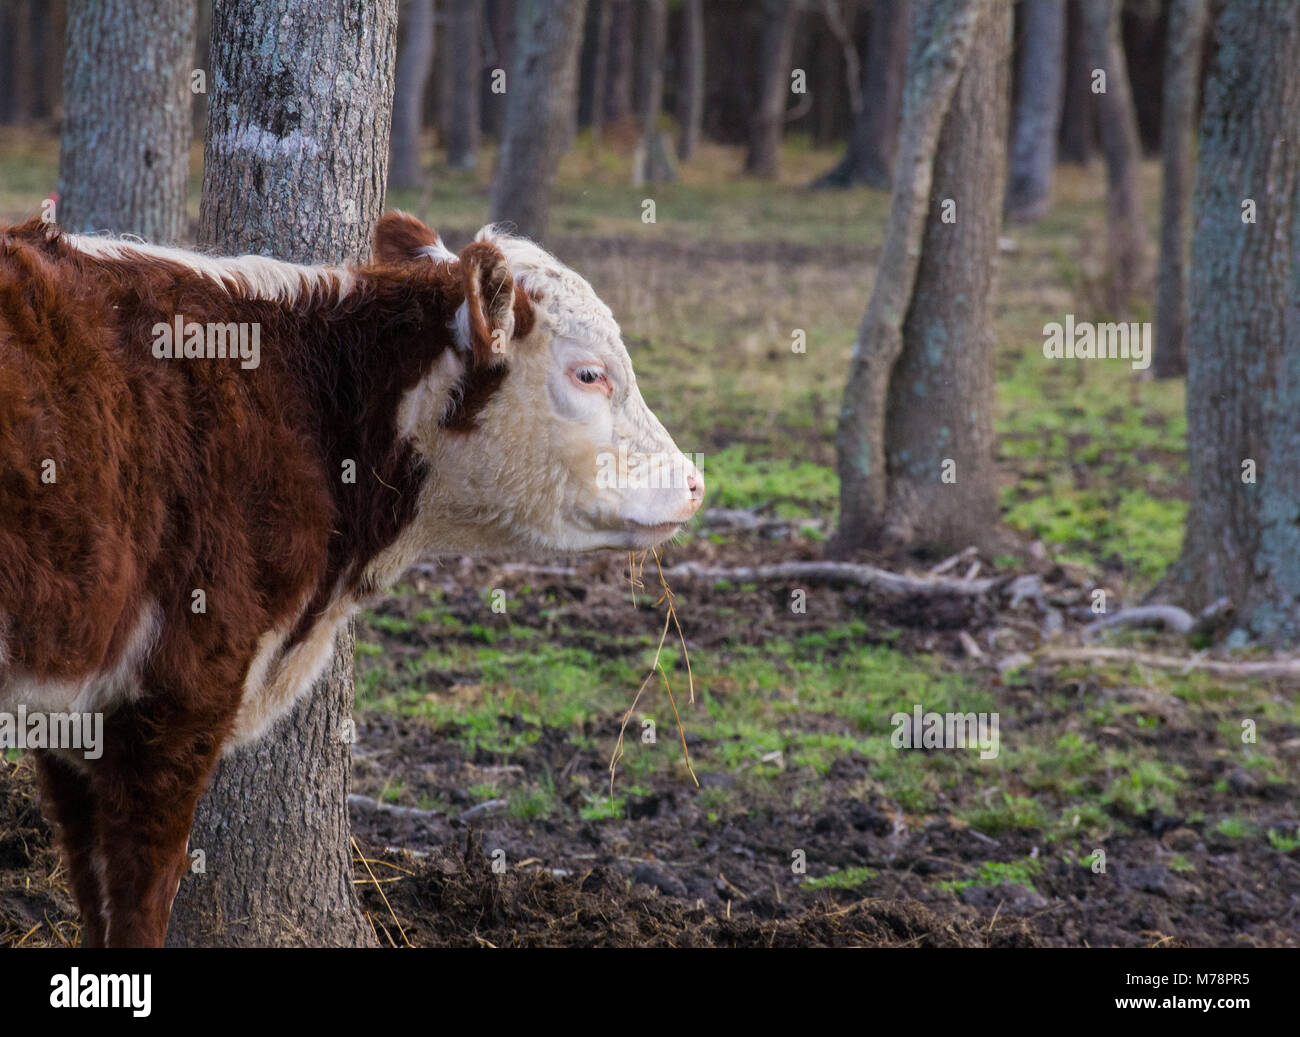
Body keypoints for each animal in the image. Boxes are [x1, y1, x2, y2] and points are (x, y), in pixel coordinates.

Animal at [0, 212, 704, 947]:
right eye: (590, 373)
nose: (694, 482)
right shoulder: (174, 699)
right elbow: (141, 900)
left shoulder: (74, 718)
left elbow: (94, 894)